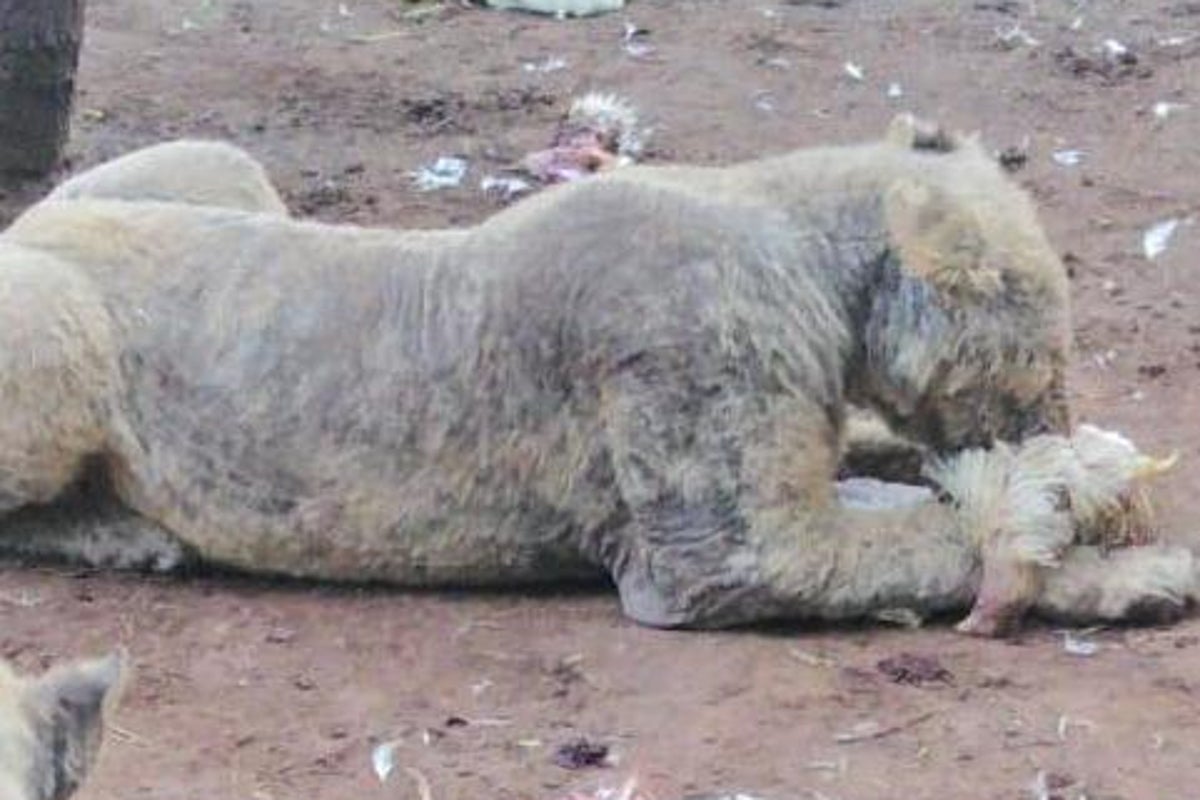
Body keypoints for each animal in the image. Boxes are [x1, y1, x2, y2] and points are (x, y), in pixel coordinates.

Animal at [0, 118, 1191, 635]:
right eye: (1048, 345)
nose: (1055, 417)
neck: (807, 253)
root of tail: (28, 225)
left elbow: (896, 473)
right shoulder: (716, 553)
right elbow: (925, 541)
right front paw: (1128, 563)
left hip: (220, 167)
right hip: (57, 340)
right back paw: (130, 536)